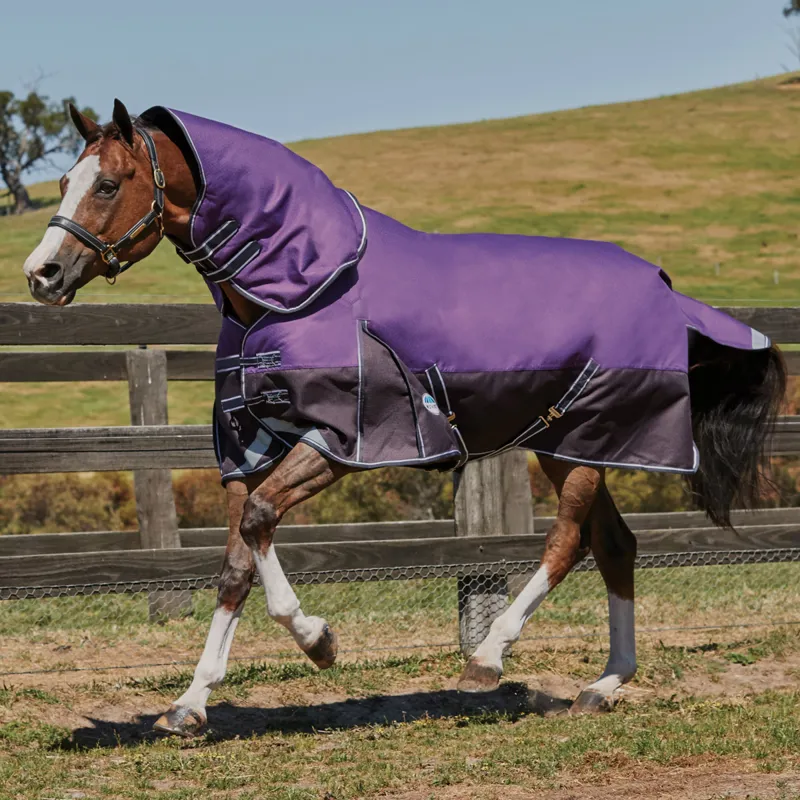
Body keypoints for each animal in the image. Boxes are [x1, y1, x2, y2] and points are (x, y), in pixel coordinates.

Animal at [22, 100, 786, 736]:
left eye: (109, 185)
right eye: (63, 180)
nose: (42, 274)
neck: (303, 286)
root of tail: (665, 288)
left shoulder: (341, 441)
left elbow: (262, 525)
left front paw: (319, 641)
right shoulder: (248, 449)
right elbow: (236, 563)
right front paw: (189, 705)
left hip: (586, 442)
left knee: (568, 543)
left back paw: (488, 659)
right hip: (569, 444)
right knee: (616, 546)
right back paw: (601, 687)